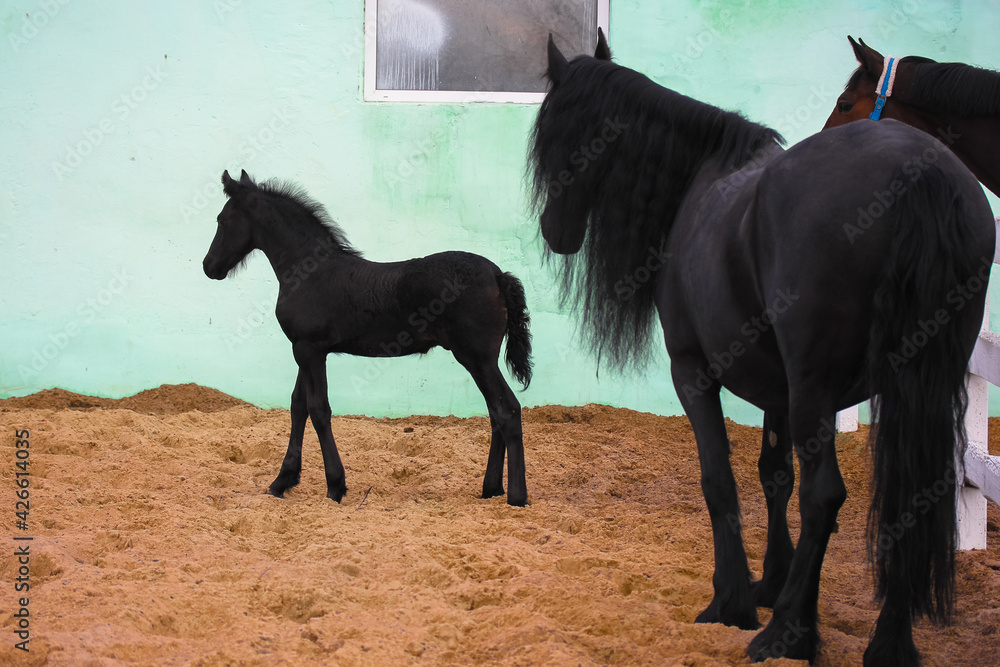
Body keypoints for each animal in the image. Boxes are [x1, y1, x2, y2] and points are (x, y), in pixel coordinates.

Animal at [202, 170, 533, 506]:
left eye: (222, 220)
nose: (208, 266)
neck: (309, 272)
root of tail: (498, 275)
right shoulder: (305, 350)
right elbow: (298, 406)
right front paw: (283, 481)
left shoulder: (309, 349)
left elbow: (319, 409)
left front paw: (335, 486)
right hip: (481, 361)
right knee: (495, 413)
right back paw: (490, 489)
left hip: (477, 358)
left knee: (507, 411)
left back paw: (516, 496)